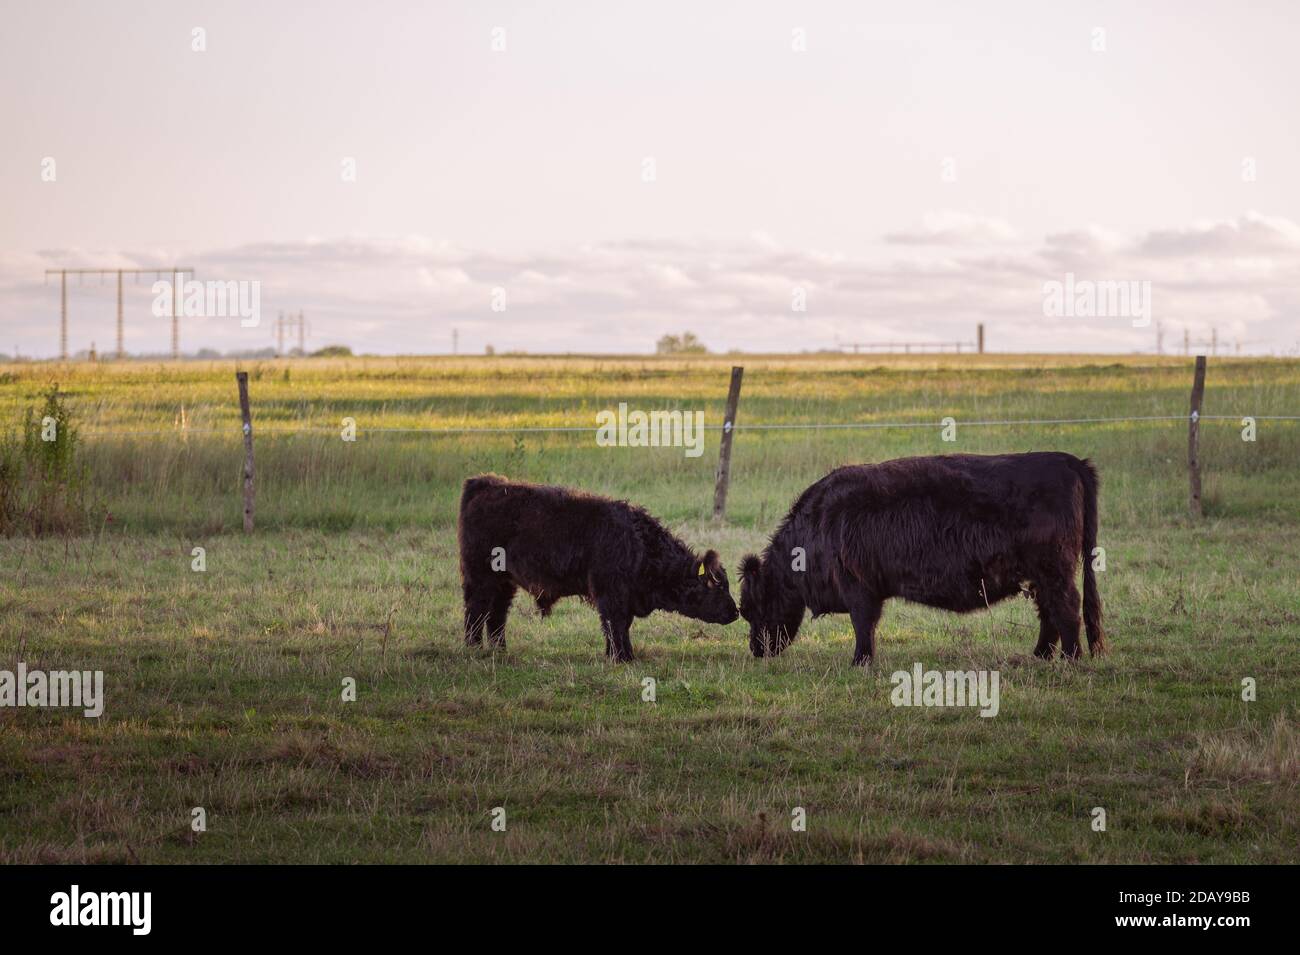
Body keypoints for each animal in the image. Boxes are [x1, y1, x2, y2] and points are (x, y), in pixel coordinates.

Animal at [458, 475, 738, 661]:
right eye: (718, 587)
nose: (735, 612)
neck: (640, 544)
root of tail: (487, 483)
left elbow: (622, 627)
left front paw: (620, 654)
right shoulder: (610, 595)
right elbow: (615, 625)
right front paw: (621, 658)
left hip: (504, 582)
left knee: (496, 615)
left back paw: (500, 650)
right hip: (481, 577)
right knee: (476, 611)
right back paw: (474, 649)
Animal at [738, 452, 1105, 665]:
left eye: (752, 609)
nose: (756, 650)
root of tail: (1067, 460)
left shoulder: (859, 587)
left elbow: (863, 625)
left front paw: (860, 661)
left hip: (1054, 570)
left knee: (1067, 610)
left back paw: (1070, 659)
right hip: (1041, 575)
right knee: (1049, 613)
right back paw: (1041, 656)